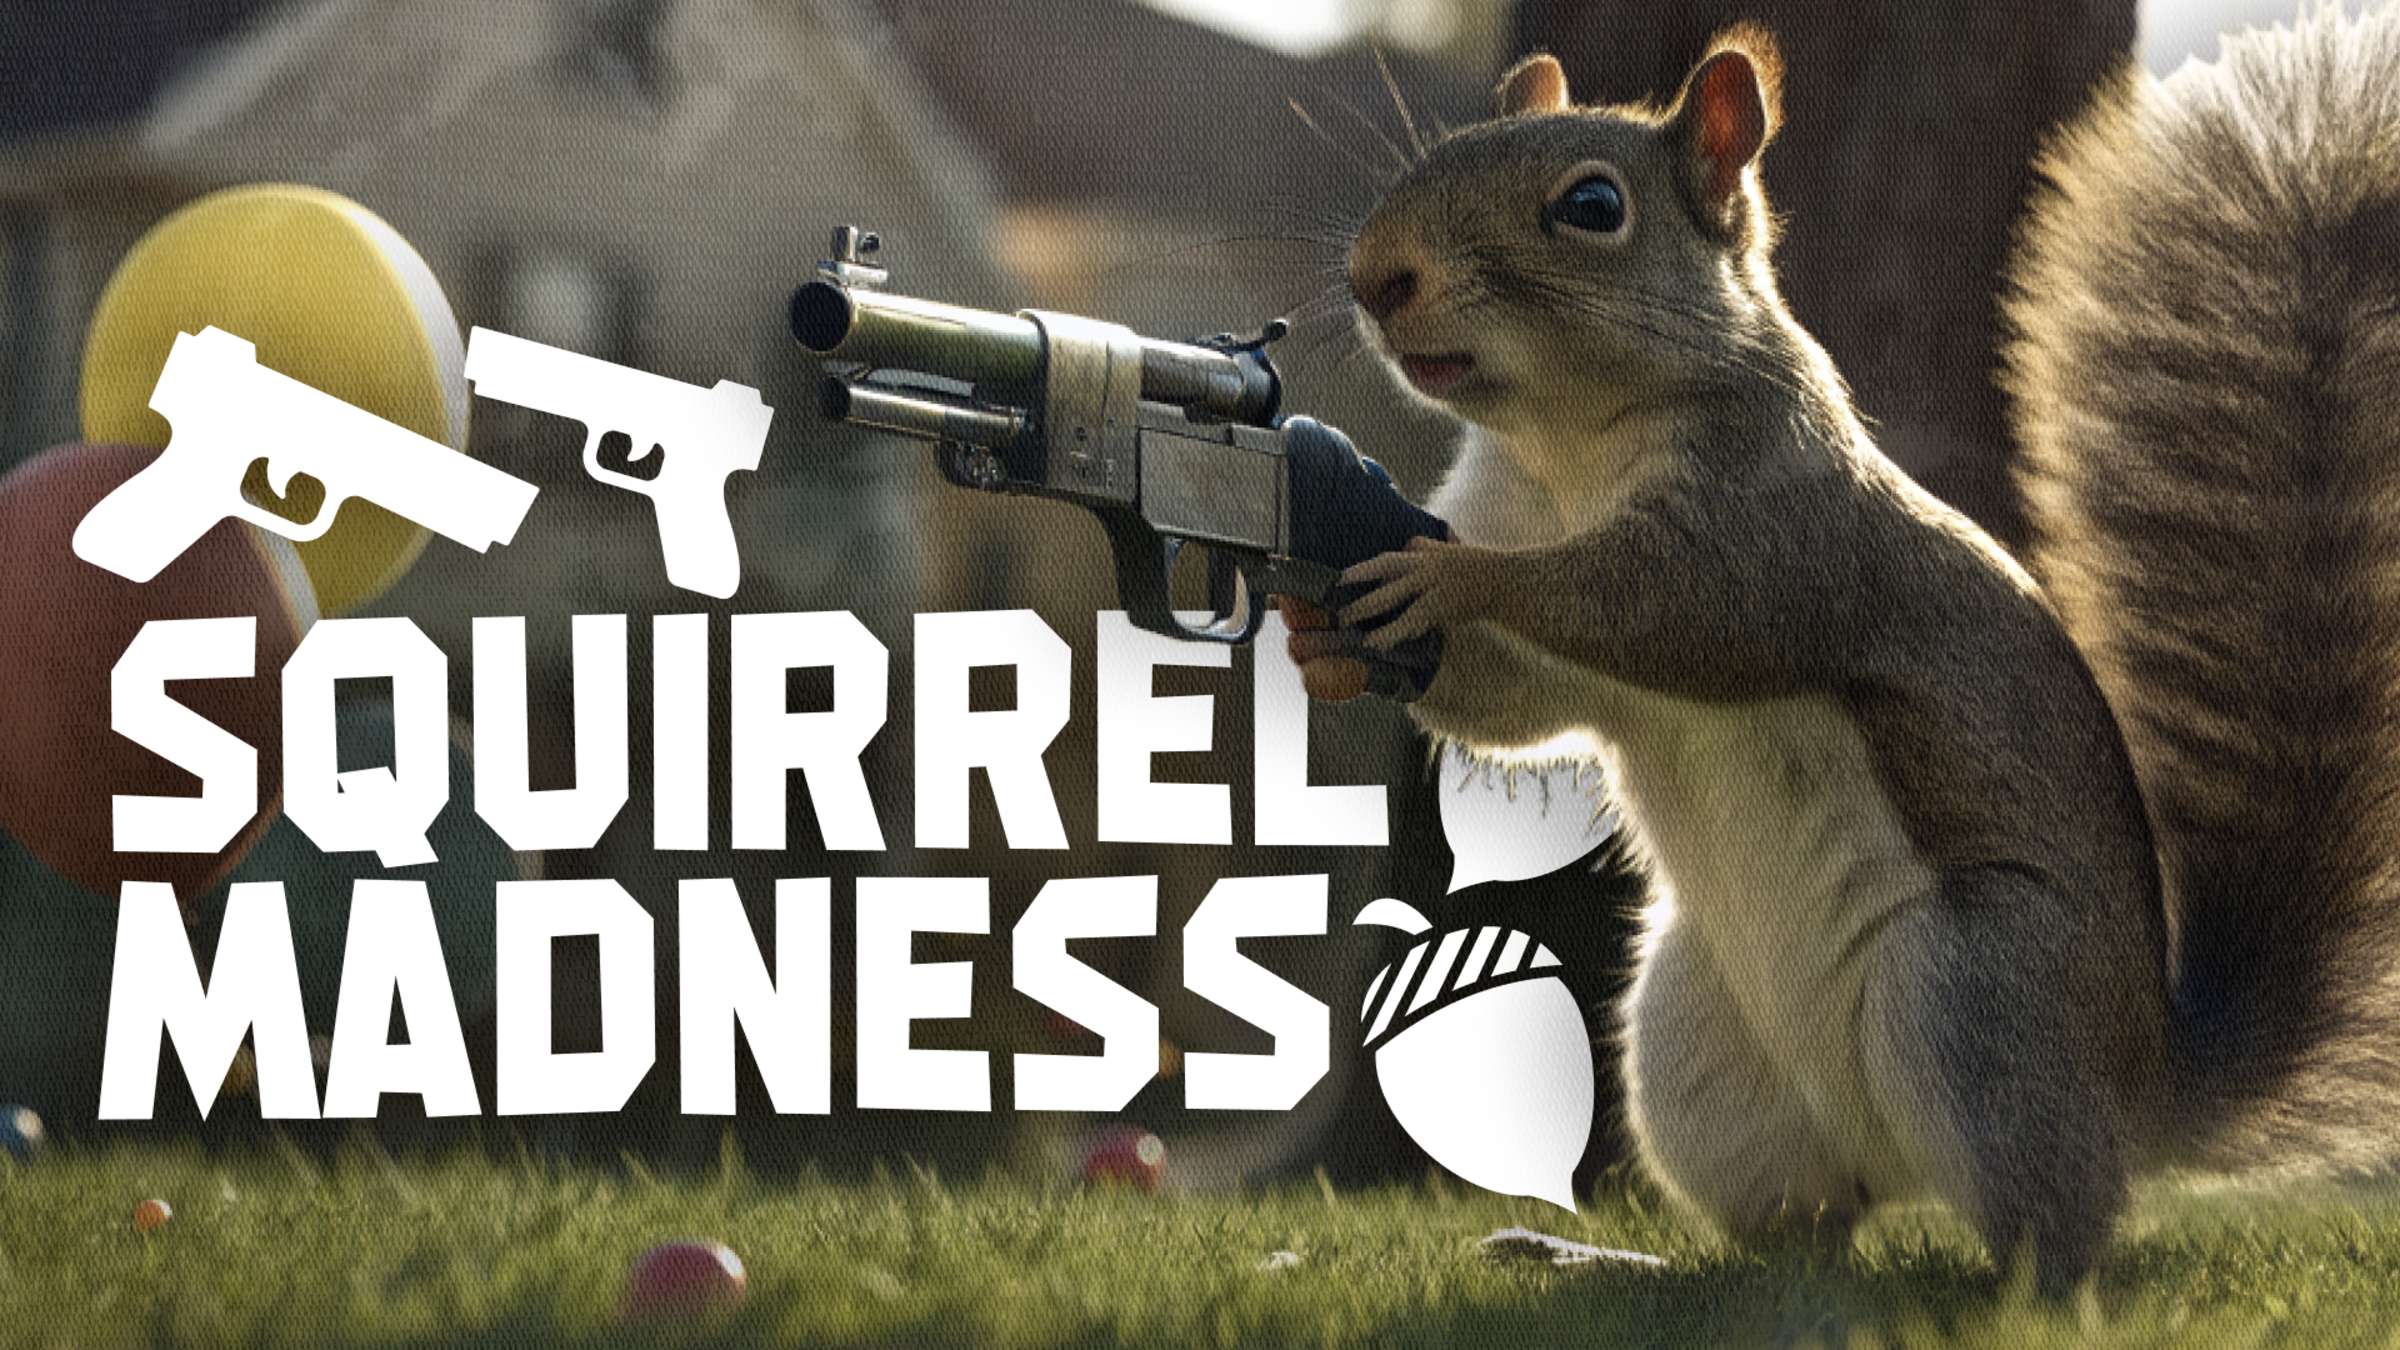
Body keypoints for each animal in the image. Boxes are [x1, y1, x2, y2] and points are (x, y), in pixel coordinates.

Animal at [1281, 9, 2400, 1291]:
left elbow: (1671, 610)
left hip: (1976, 999)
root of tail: (2143, 1087)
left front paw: (1456, 578)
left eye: (1593, 206)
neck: (1567, 447)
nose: (1377, 277)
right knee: (1804, 1226)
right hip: (1691, 1046)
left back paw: (2009, 1292)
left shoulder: (1780, 525)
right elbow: (1517, 701)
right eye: (1445, 150)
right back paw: (1620, 1261)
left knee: (2061, 1225)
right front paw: (1319, 644)